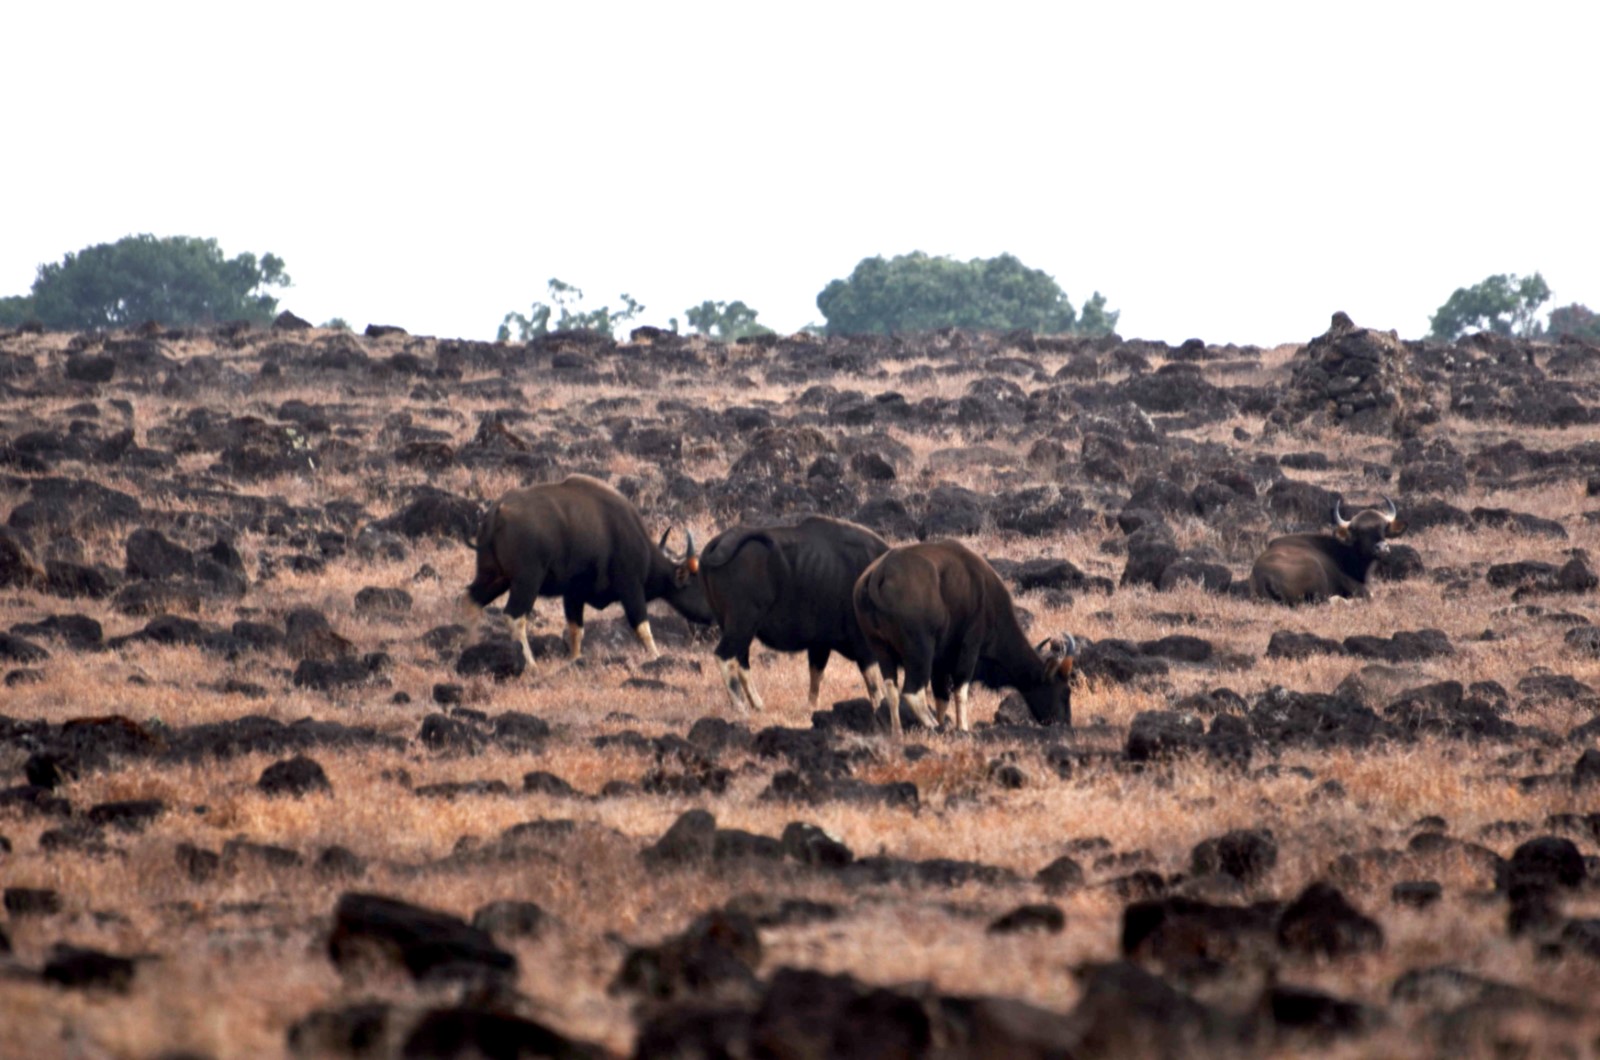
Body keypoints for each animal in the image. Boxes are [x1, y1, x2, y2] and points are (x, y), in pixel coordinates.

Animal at [464, 475, 713, 668]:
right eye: (699, 583)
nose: (712, 617)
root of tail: (497, 512)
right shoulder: (631, 588)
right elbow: (642, 627)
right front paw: (657, 656)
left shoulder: (573, 594)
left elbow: (576, 630)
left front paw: (575, 659)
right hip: (526, 581)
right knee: (514, 616)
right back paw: (530, 664)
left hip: (493, 577)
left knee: (470, 600)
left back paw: (470, 646)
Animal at [676, 515, 889, 713]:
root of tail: (717, 545)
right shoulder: (863, 646)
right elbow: (874, 685)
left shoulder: (820, 645)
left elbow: (815, 679)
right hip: (742, 624)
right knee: (724, 656)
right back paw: (741, 707)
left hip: (735, 627)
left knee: (741, 660)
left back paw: (756, 703)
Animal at [853, 539, 1077, 737]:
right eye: (1066, 692)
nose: (1065, 723)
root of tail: (878, 574)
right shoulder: (969, 648)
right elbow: (961, 690)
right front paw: (962, 728)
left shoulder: (940, 664)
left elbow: (941, 697)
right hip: (919, 652)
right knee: (911, 692)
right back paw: (936, 727)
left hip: (882, 650)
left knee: (891, 689)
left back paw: (898, 732)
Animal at [1250, 496, 1407, 604]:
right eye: (1360, 532)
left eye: (1384, 527)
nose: (1382, 548)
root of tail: (1264, 575)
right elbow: (1370, 594)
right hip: (1315, 570)